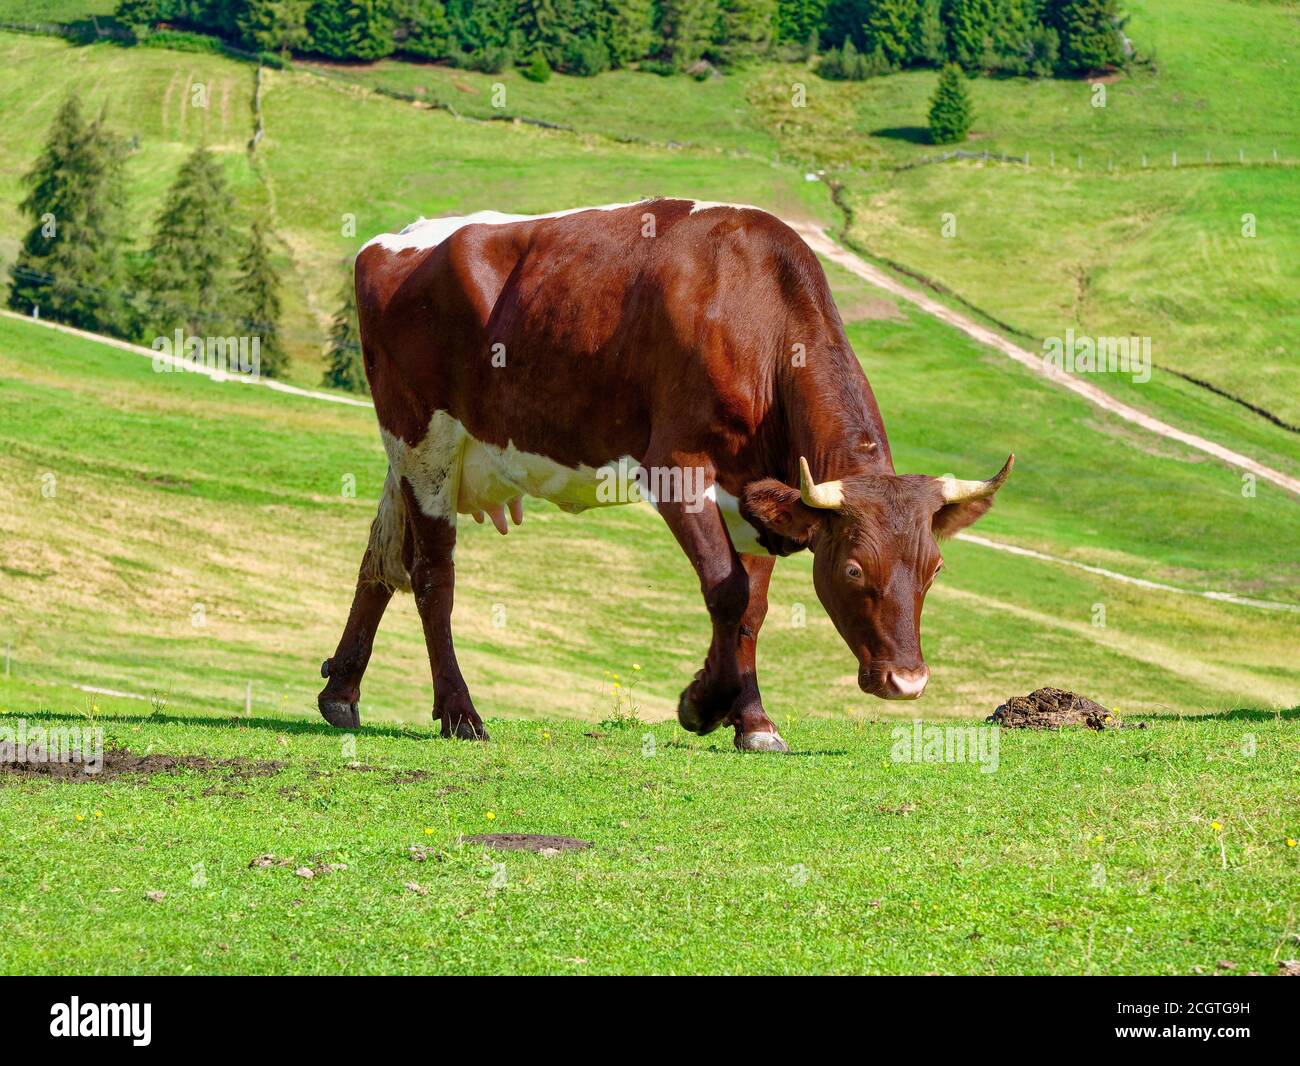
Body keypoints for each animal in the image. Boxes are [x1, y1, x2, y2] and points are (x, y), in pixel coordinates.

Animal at [317, 200, 1012, 752]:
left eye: (935, 569)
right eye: (851, 570)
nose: (908, 682)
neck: (754, 314)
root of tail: (394, 239)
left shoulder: (754, 491)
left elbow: (752, 607)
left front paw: (752, 721)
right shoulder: (675, 465)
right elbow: (726, 591)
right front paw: (703, 704)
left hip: (415, 458)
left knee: (380, 560)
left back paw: (341, 692)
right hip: (425, 441)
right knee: (432, 574)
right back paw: (460, 714)